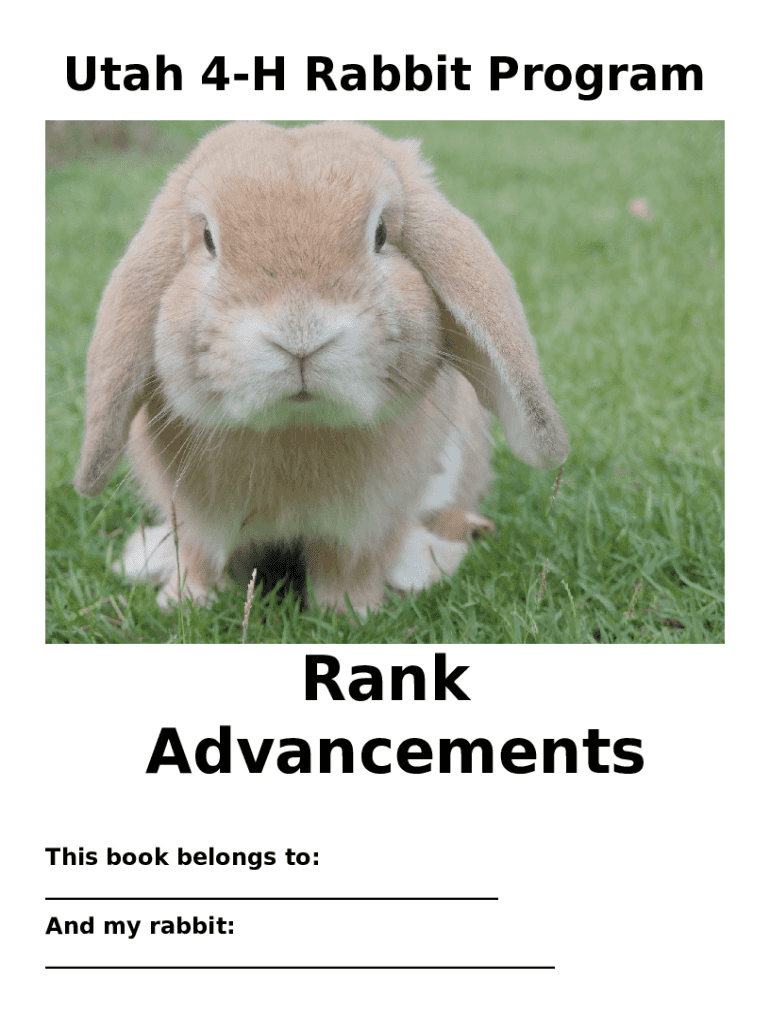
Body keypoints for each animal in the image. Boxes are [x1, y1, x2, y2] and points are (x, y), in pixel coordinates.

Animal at [73, 121, 569, 615]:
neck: (295, 426)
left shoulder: (364, 525)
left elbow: (346, 566)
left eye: (381, 233)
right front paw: (186, 603)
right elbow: (201, 558)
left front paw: (351, 612)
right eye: (210, 240)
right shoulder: (194, 519)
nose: (300, 336)